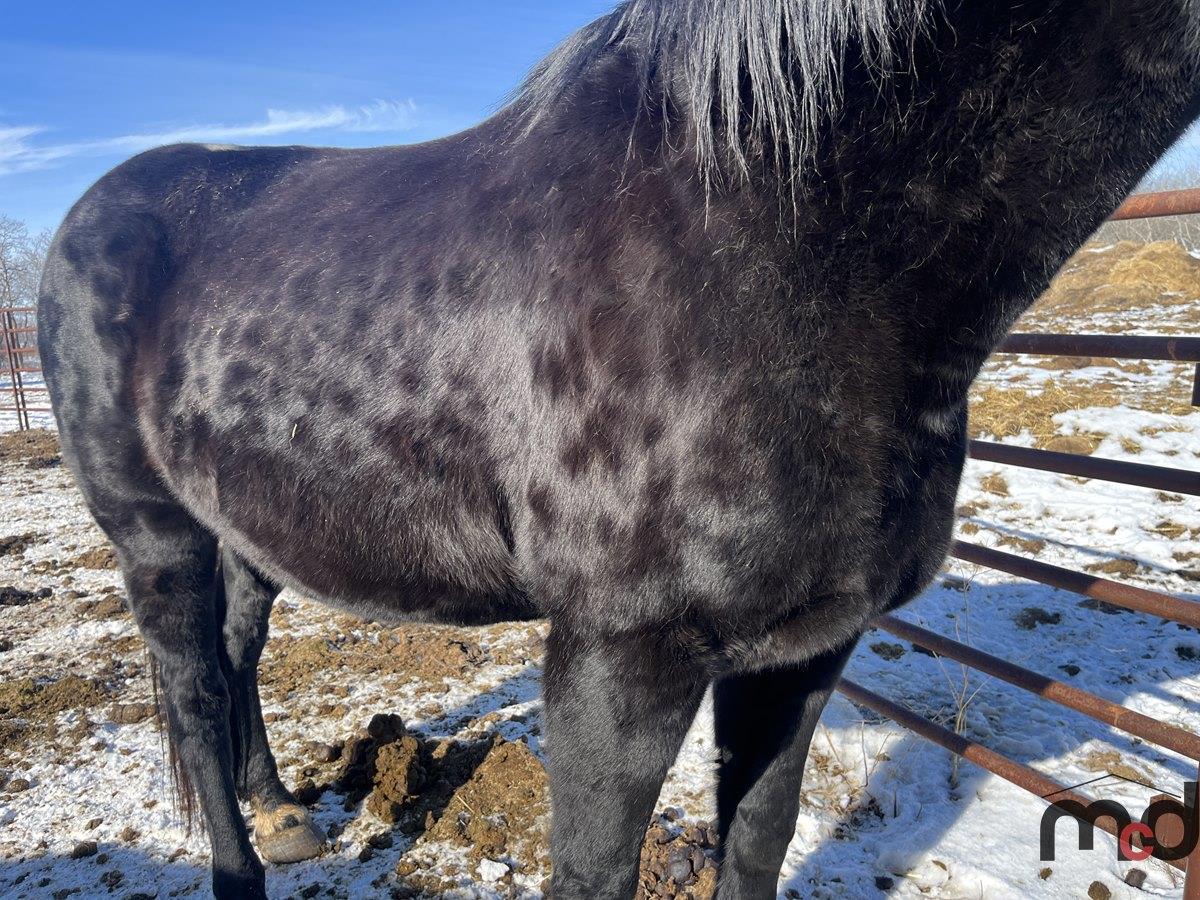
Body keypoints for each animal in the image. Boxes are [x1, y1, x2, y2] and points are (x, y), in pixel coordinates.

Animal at [36, 1, 1200, 897]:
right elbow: (594, 868)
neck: (784, 234)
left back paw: (280, 809)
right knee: (193, 690)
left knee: (237, 651)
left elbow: (758, 843)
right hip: (152, 530)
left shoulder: (807, 647)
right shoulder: (619, 654)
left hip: (244, 517)